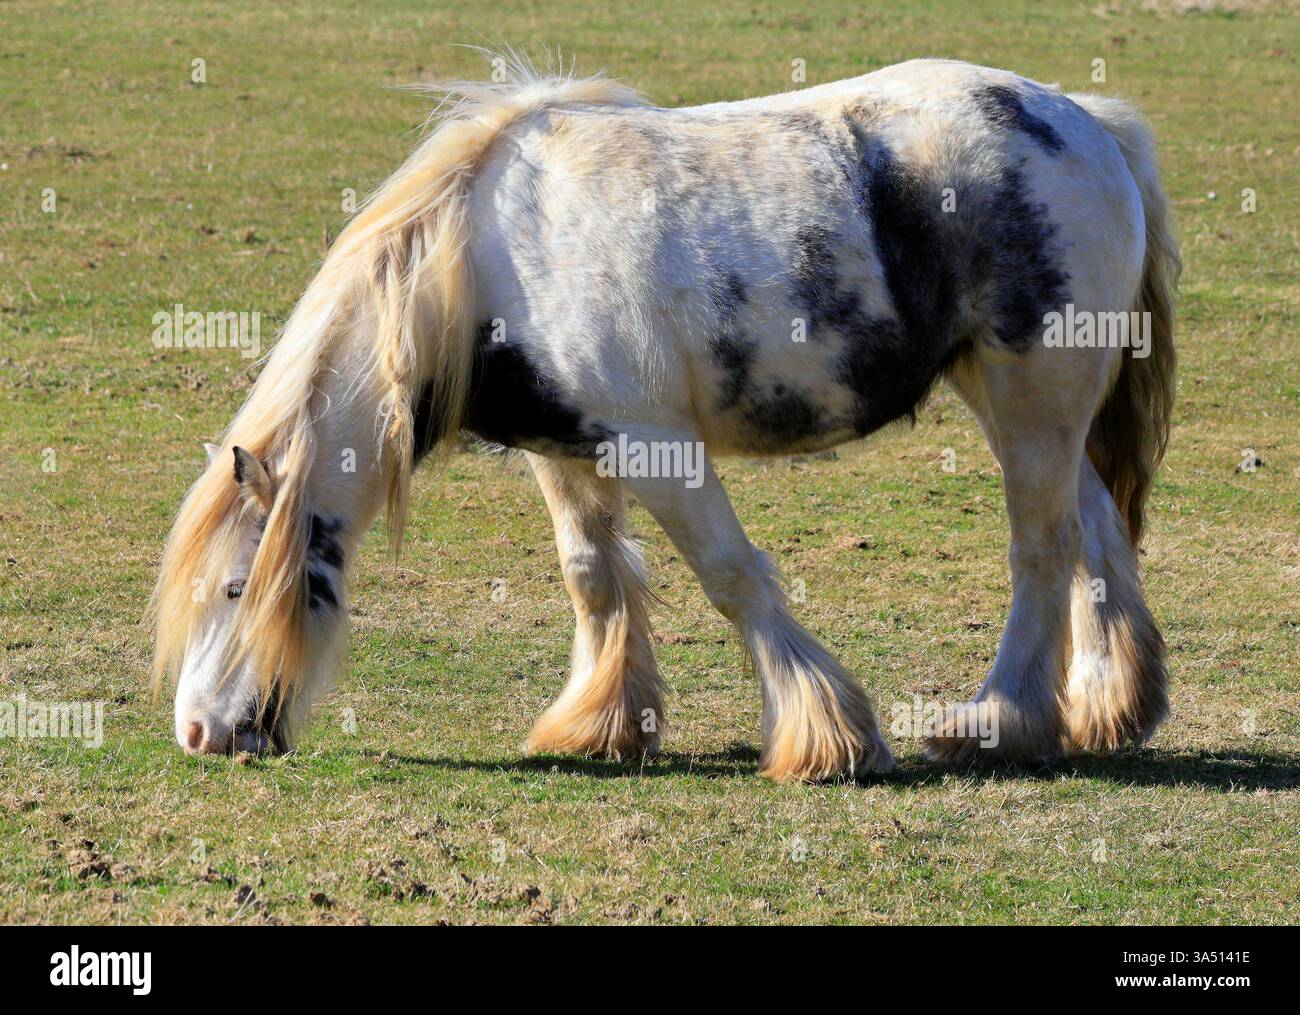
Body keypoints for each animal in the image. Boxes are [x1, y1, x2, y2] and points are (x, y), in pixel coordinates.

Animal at [152, 55, 1178, 782]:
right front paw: (600, 723)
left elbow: (730, 574)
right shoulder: (565, 451)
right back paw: (1105, 709)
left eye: (237, 587)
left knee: (1042, 550)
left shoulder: (657, 449)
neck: (484, 263)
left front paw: (825, 737)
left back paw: (998, 722)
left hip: (1029, 398)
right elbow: (593, 574)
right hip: (1028, 402)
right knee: (1093, 533)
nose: (197, 731)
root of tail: (1089, 122)